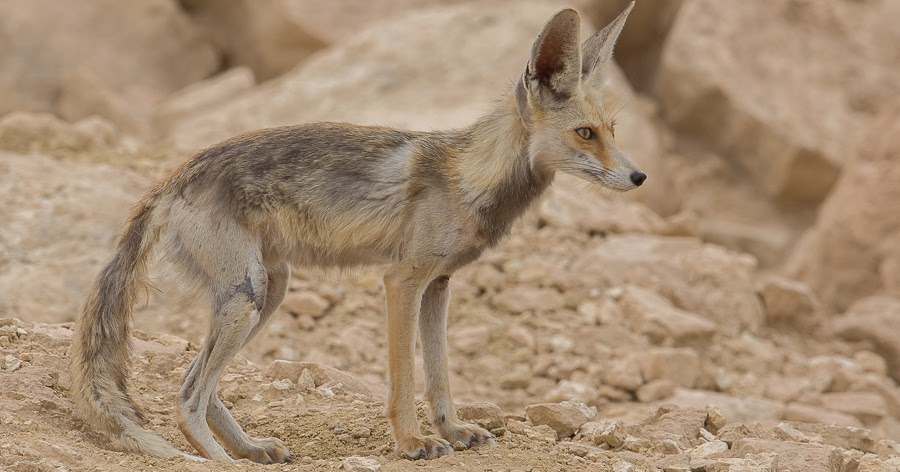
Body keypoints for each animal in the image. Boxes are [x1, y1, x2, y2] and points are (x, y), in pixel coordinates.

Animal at [69, 2, 642, 463]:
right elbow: (405, 378)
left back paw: (250, 449)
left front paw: (453, 432)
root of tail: (178, 173)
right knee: (188, 399)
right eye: (584, 134)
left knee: (197, 388)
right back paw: (221, 461)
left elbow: (440, 375)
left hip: (268, 294)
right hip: (245, 297)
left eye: (612, 131)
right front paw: (413, 443)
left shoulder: (439, 285)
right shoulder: (402, 280)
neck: (468, 179)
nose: (639, 177)